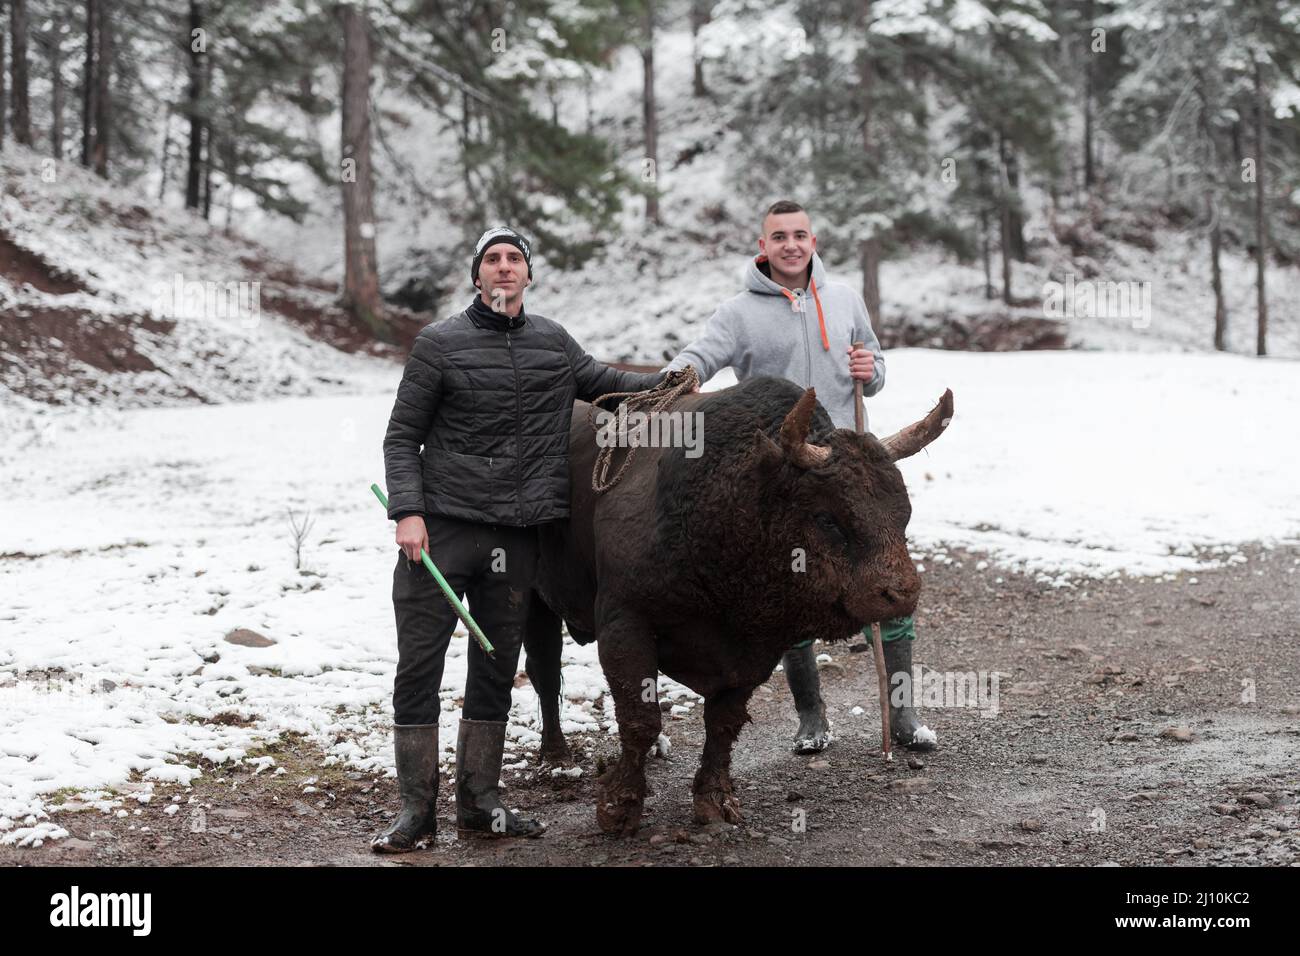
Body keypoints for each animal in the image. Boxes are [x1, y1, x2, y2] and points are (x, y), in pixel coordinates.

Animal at [522, 375, 953, 835]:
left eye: (904, 513)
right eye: (828, 518)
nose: (901, 592)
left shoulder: (753, 650)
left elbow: (722, 723)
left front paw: (714, 801)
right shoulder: (626, 623)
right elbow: (640, 717)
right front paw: (619, 808)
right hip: (534, 601)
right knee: (544, 672)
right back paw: (557, 757)